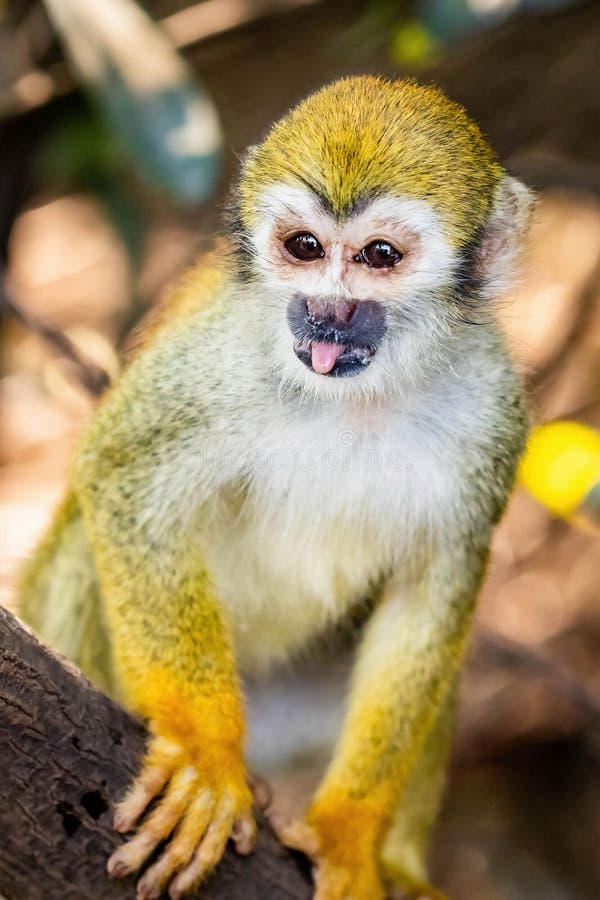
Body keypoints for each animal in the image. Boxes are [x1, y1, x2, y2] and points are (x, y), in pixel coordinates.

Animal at [19, 76, 533, 900]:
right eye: (305, 248)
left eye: (379, 256)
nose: (326, 311)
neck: (359, 395)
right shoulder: (218, 354)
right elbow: (125, 476)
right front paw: (204, 754)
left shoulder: (493, 407)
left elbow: (434, 588)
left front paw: (350, 833)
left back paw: (398, 862)